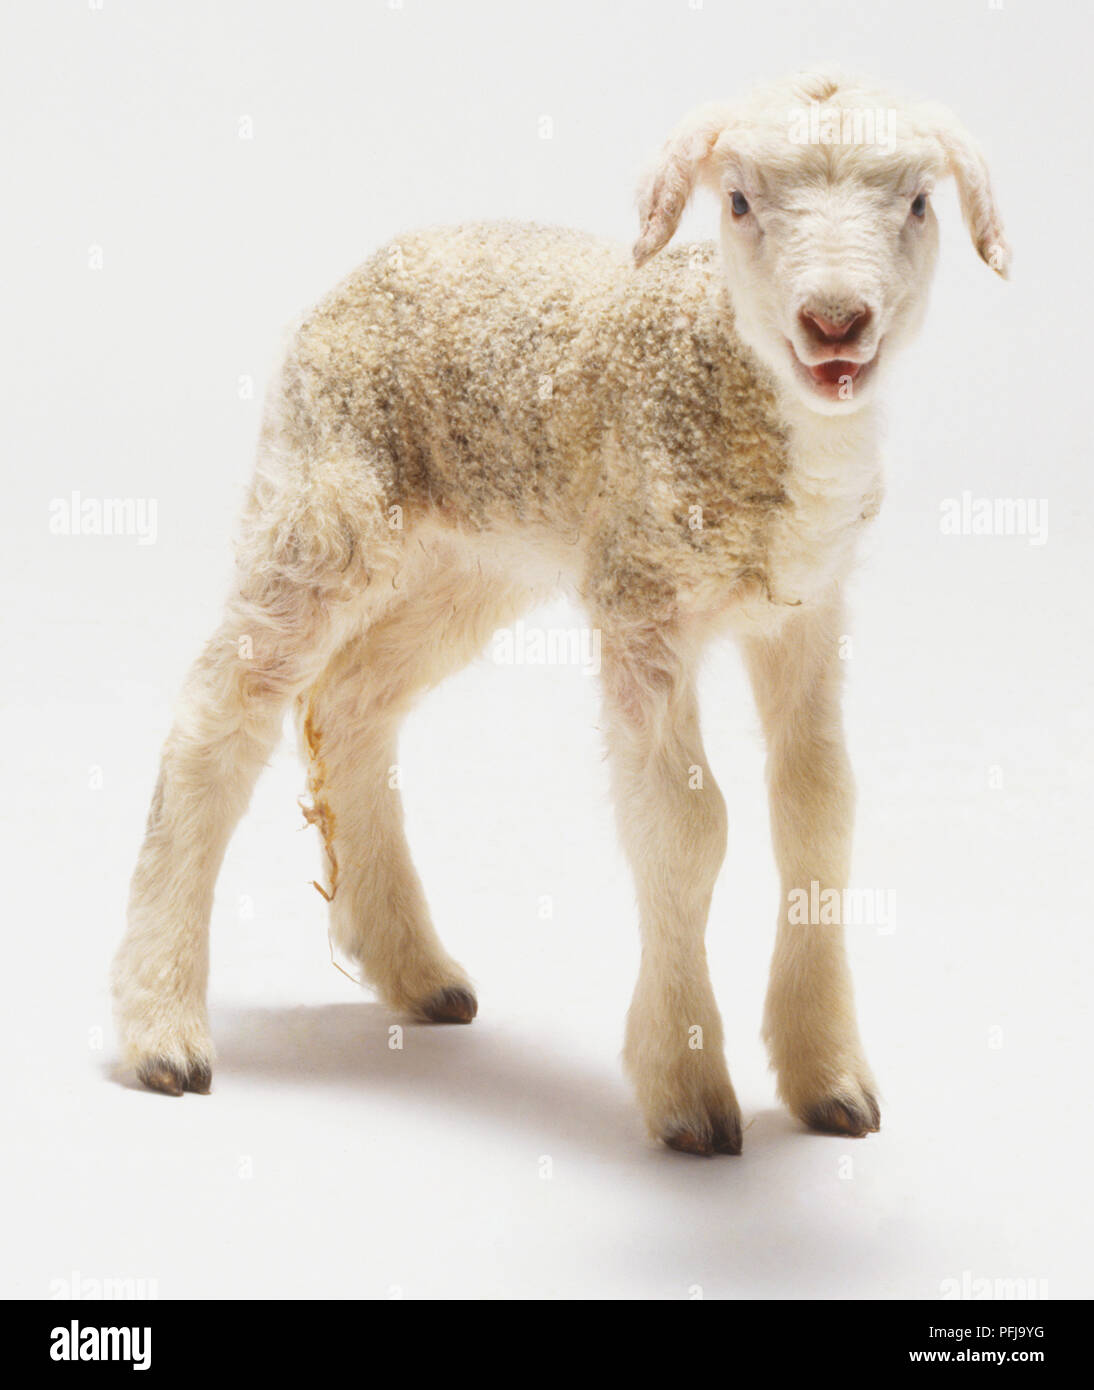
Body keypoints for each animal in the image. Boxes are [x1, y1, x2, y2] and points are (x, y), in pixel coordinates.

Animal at [112, 72, 1009, 1155]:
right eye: (738, 201)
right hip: (322, 499)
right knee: (218, 711)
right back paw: (162, 1028)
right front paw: (687, 1088)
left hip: (467, 560)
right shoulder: (641, 592)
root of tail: (368, 265)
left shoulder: (808, 606)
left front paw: (828, 1076)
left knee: (354, 705)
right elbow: (687, 827)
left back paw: (416, 970)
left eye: (916, 203)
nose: (835, 321)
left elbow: (819, 809)